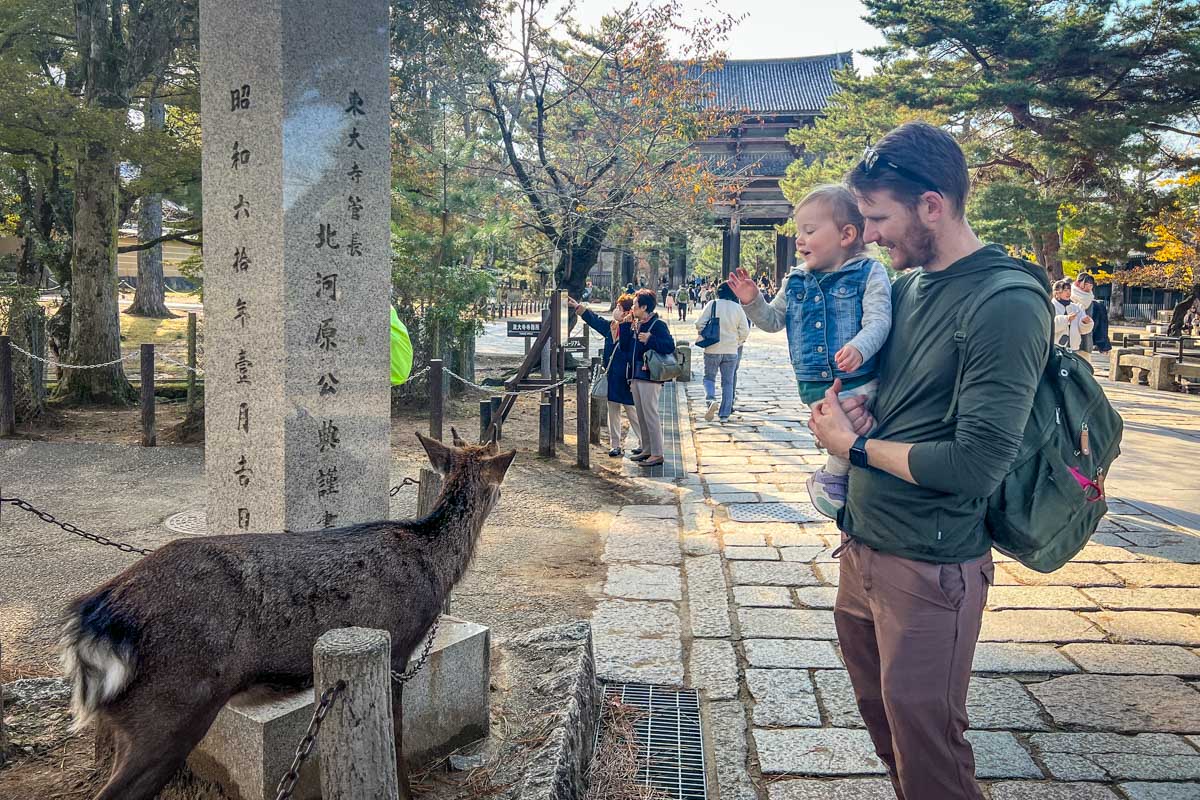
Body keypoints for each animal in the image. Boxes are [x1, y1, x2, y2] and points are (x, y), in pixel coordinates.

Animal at [59, 429, 515, 800]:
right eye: (498, 483)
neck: (434, 567)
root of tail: (94, 617)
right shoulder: (397, 647)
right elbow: (396, 735)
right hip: (170, 708)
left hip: (133, 718)